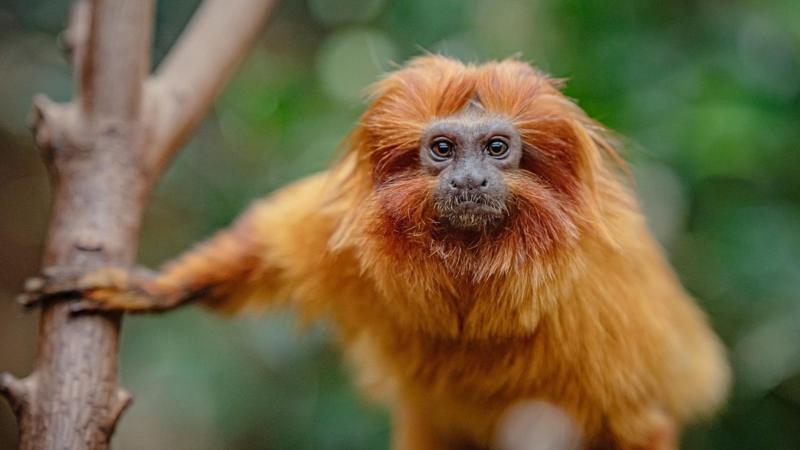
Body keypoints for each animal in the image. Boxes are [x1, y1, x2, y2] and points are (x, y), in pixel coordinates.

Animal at [22, 55, 730, 449]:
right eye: (443, 149)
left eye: (497, 148)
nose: (469, 181)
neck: (471, 269)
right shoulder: (349, 230)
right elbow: (277, 244)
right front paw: (149, 286)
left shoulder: (604, 313)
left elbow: (637, 425)